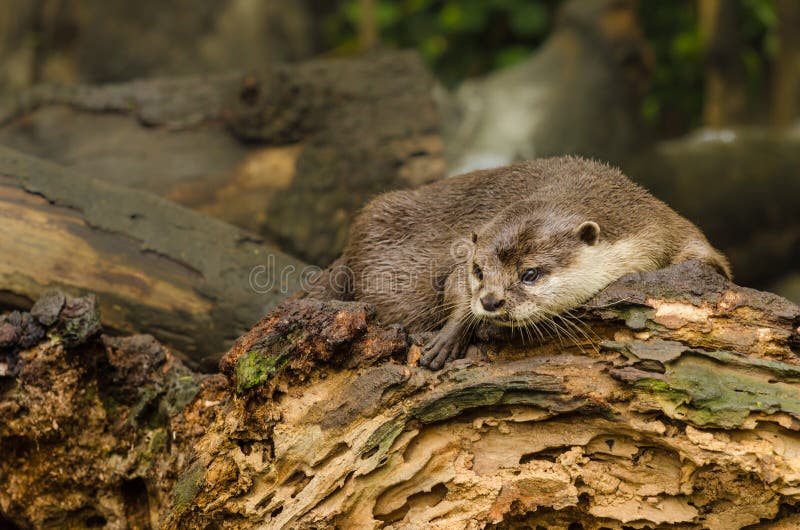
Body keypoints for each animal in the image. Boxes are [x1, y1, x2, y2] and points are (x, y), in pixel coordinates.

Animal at [331, 156, 730, 370]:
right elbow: (453, 282)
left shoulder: (658, 220)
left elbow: (704, 255)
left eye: (530, 274)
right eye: (479, 271)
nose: (491, 301)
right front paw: (450, 335)